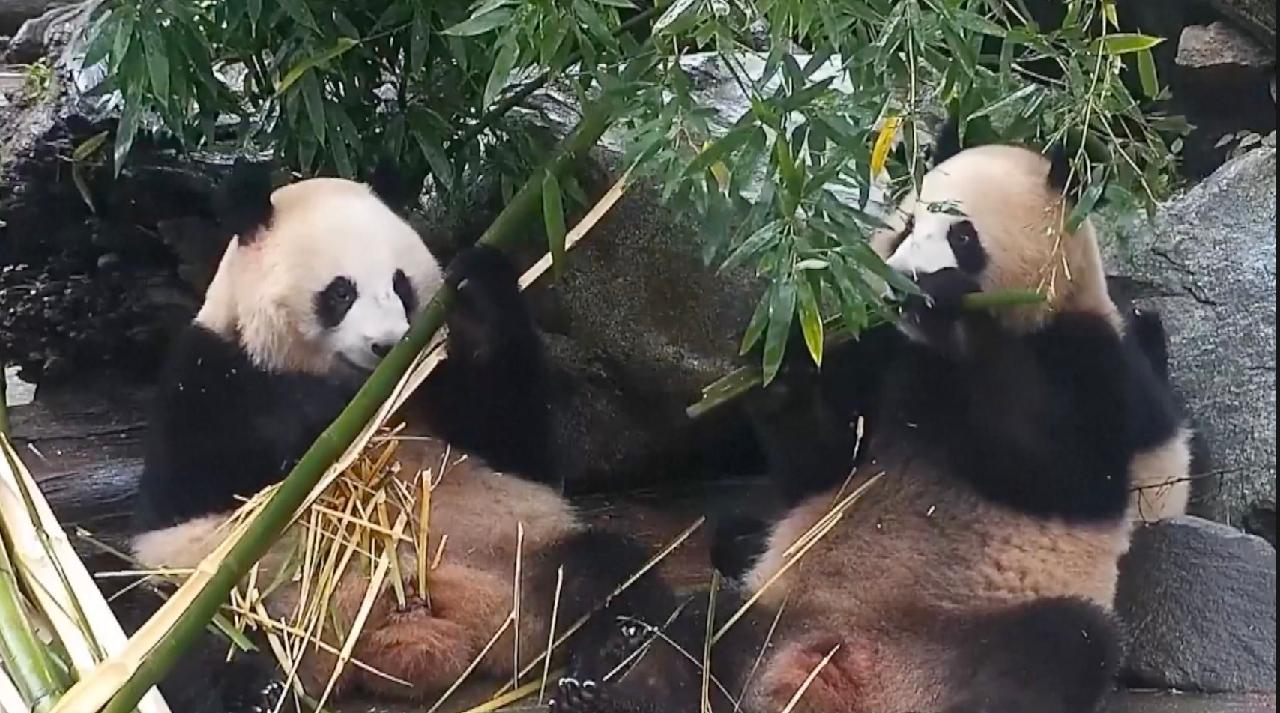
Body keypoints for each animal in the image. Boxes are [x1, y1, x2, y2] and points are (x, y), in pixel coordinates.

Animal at [118, 161, 667, 711]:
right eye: (341, 292)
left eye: (402, 285)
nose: (386, 344)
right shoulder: (204, 370)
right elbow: (194, 477)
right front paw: (322, 415)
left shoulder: (436, 377)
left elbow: (516, 439)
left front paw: (480, 294)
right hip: (231, 594)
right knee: (171, 639)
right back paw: (254, 689)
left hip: (518, 554)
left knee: (612, 574)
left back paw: (606, 676)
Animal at [543, 135, 1188, 713]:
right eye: (904, 225)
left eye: (962, 235)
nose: (904, 280)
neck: (931, 349)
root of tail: (828, 669)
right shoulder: (872, 348)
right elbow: (821, 462)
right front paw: (778, 365)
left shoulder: (1090, 361)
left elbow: (1061, 470)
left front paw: (949, 300)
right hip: (767, 610)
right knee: (688, 622)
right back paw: (618, 681)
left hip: (981, 627)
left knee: (1060, 649)